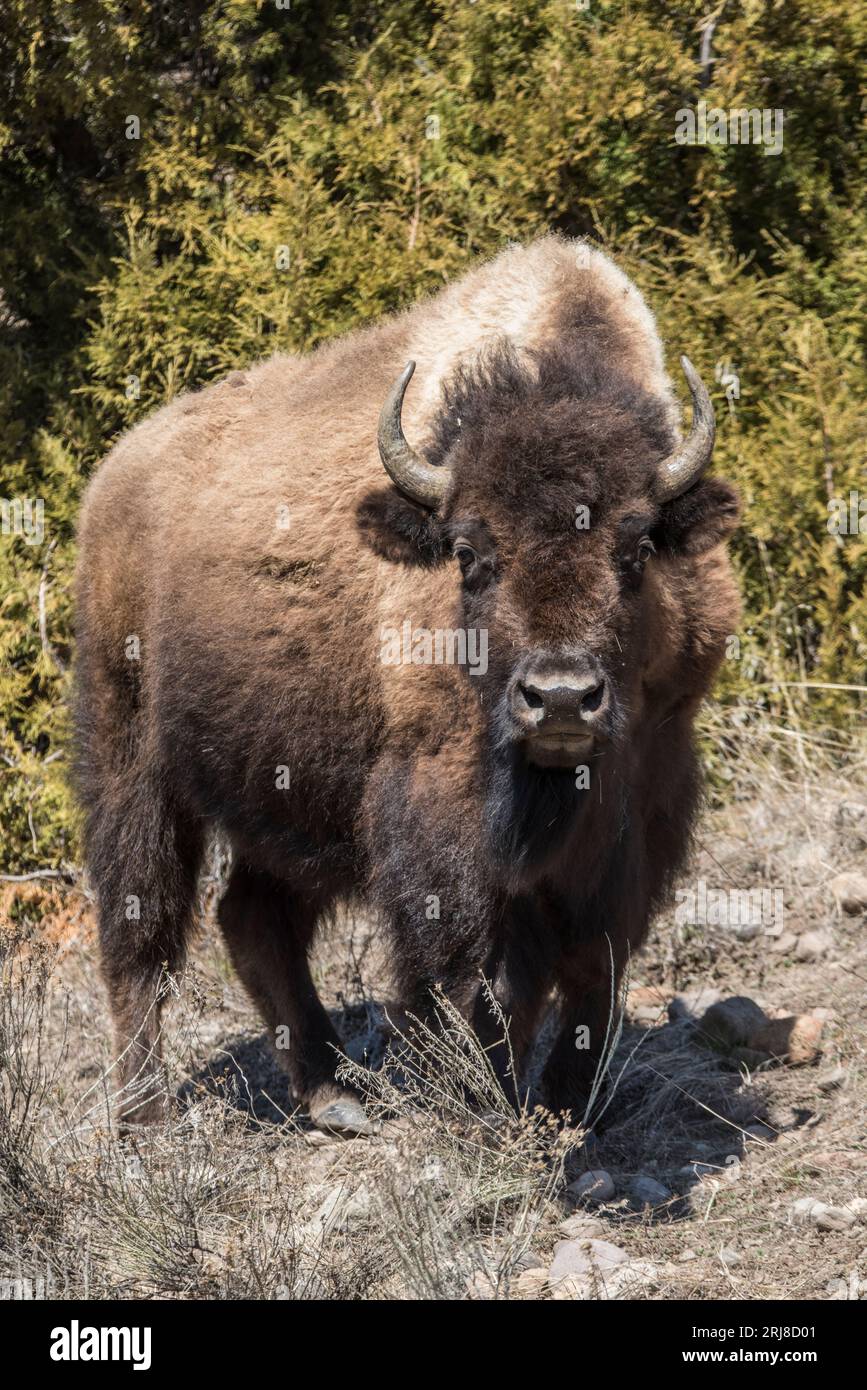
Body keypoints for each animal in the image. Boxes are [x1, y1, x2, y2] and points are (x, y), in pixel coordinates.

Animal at [75, 235, 740, 1132]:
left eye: (636, 548)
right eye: (467, 551)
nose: (560, 698)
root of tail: (113, 478)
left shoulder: (646, 789)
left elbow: (593, 960)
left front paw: (565, 1107)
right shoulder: (437, 803)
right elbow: (472, 970)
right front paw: (480, 1103)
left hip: (282, 782)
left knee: (253, 916)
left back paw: (333, 1095)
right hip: (129, 749)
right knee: (140, 925)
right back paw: (145, 1114)